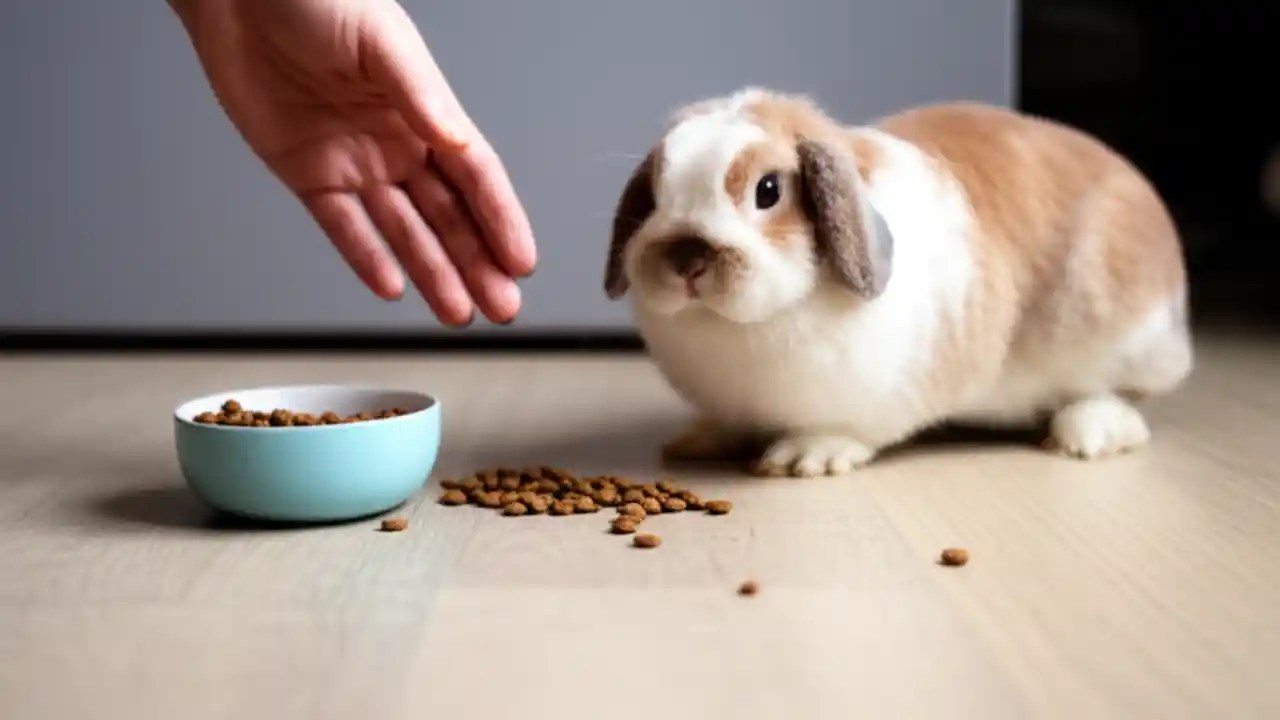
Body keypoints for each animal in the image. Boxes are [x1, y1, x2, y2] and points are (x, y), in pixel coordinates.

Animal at [602, 87, 1193, 477]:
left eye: (768, 190)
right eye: (654, 195)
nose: (686, 259)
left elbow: (851, 428)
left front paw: (806, 457)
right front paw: (700, 440)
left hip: (1114, 331)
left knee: (1121, 398)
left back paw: (1084, 435)